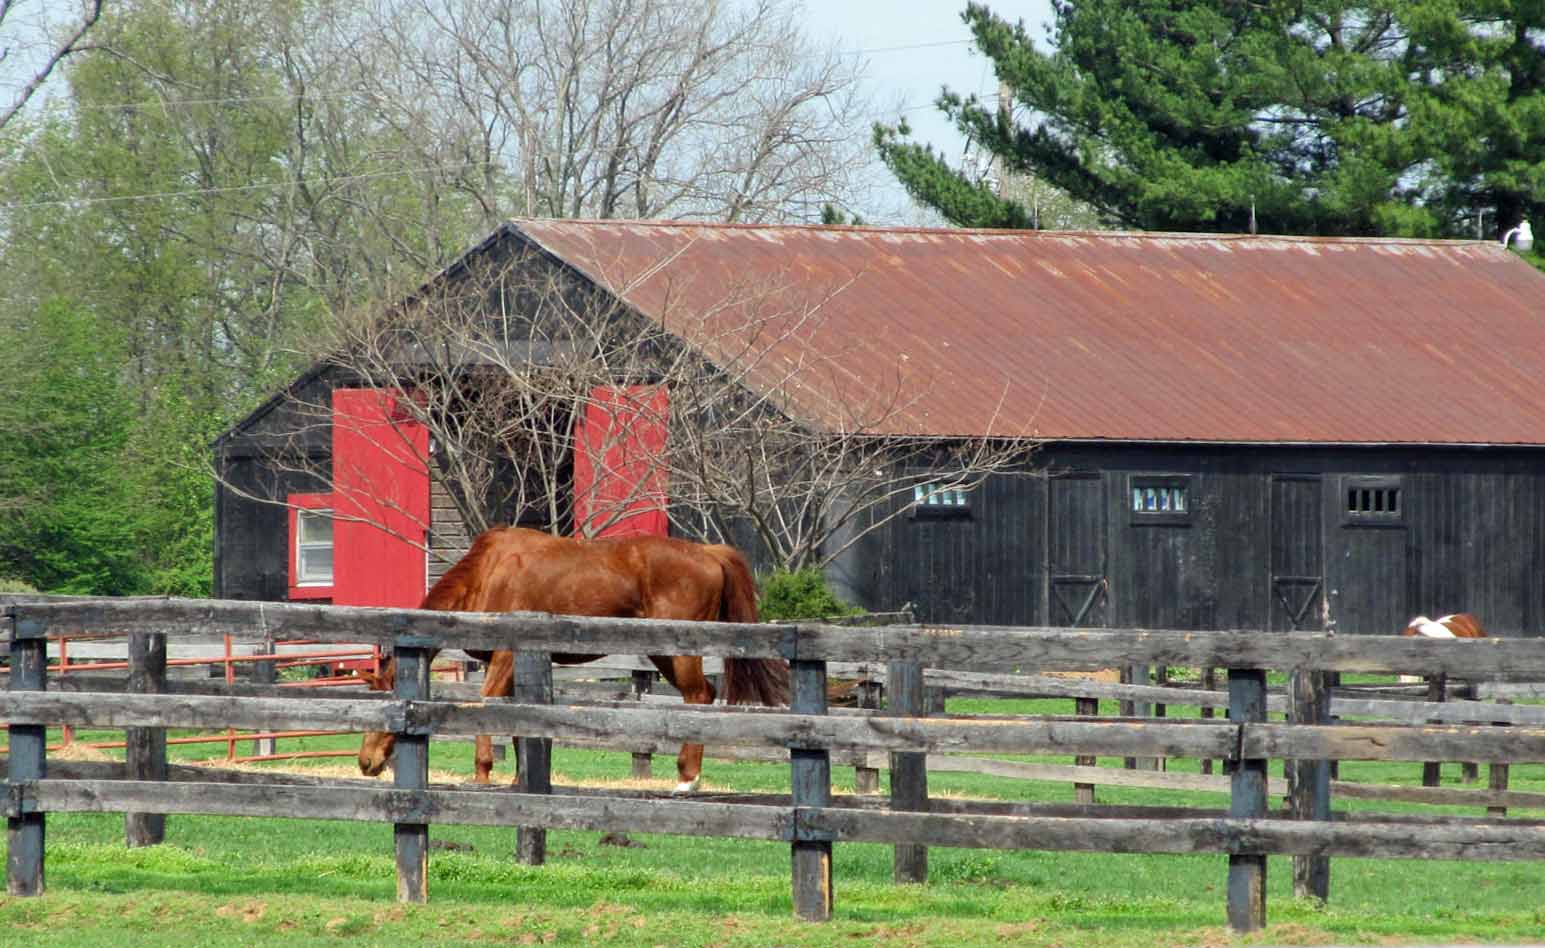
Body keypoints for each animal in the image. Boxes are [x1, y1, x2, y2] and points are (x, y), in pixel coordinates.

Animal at [355, 526, 790, 793]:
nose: (366, 761)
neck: (487, 573)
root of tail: (709, 552)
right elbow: (518, 722)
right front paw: (521, 780)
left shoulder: (506, 657)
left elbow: (487, 705)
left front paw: (482, 773)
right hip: (663, 654)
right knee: (701, 696)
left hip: (679, 652)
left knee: (699, 697)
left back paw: (688, 778)